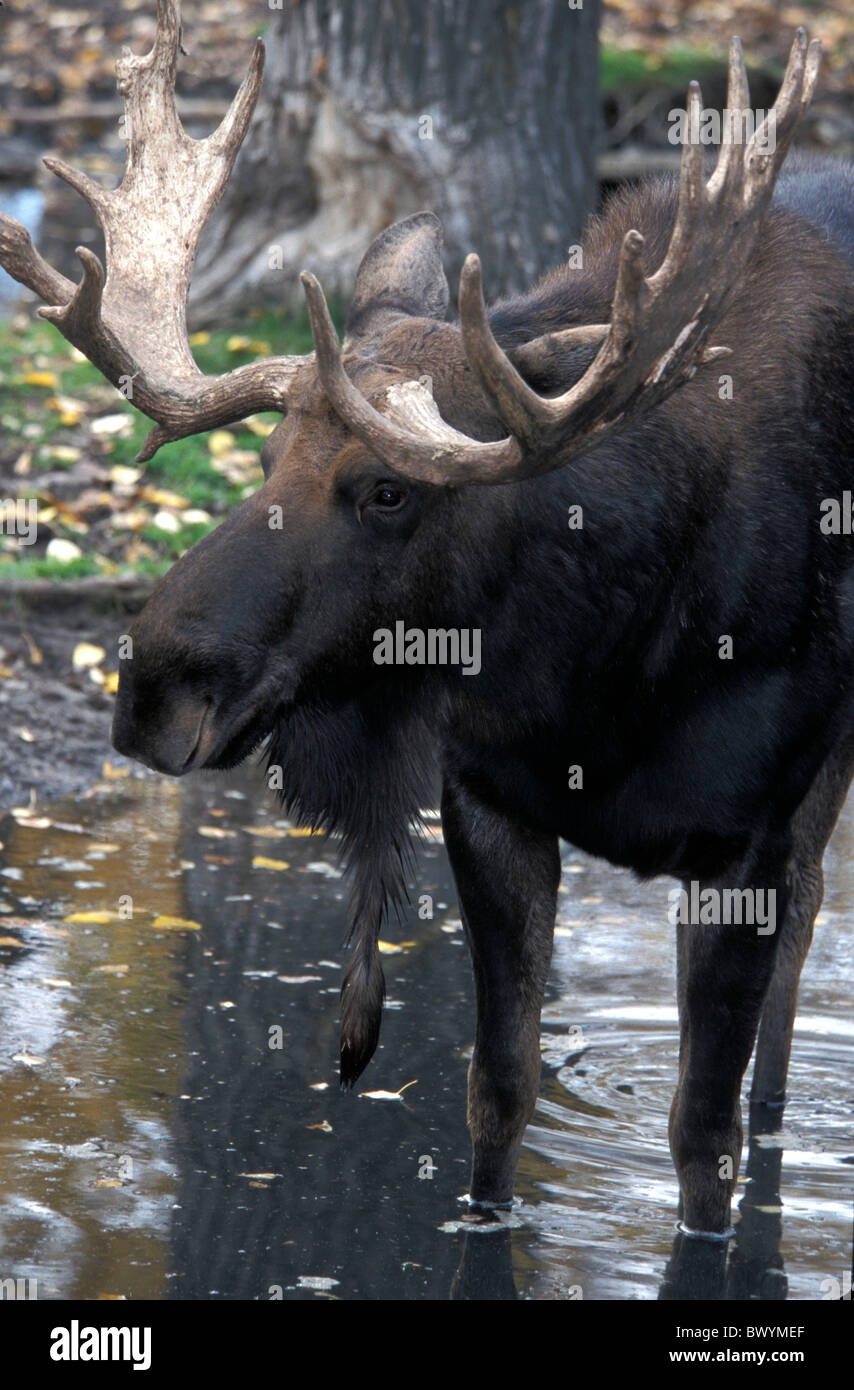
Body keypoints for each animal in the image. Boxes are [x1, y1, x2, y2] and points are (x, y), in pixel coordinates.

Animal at [2, 2, 853, 1248]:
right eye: (264, 455)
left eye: (388, 491)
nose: (152, 688)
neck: (601, 671)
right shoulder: (488, 799)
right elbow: (495, 1092)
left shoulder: (743, 836)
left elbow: (701, 1147)